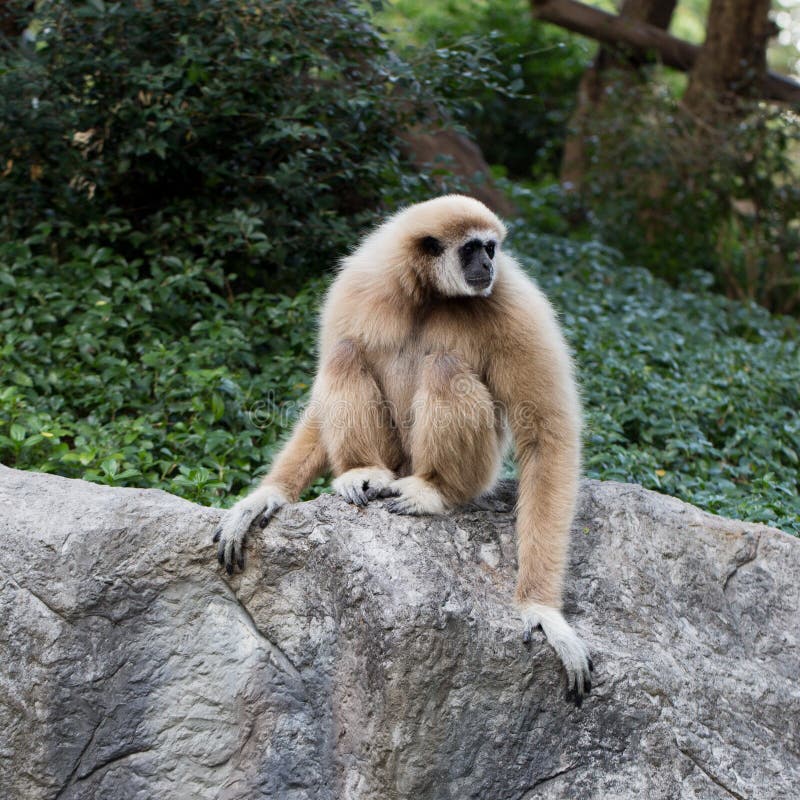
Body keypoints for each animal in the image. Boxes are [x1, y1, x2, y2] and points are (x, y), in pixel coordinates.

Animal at [213, 195, 593, 702]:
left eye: (492, 247)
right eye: (473, 248)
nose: (488, 263)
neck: (428, 295)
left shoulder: (514, 301)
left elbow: (546, 433)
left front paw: (543, 612)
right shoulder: (355, 286)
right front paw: (262, 498)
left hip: (473, 468)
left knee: (446, 366)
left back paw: (434, 490)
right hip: (393, 455)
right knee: (345, 351)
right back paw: (364, 473)